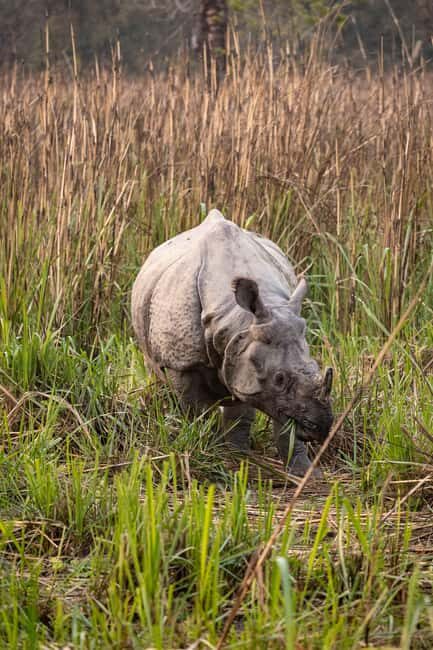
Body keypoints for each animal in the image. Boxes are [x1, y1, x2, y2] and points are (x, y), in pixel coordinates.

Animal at [131, 210, 333, 476]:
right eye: (279, 379)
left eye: (317, 368)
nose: (321, 427)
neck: (235, 318)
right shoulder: (183, 362)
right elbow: (196, 411)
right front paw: (210, 453)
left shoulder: (246, 351)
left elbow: (278, 420)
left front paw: (305, 473)